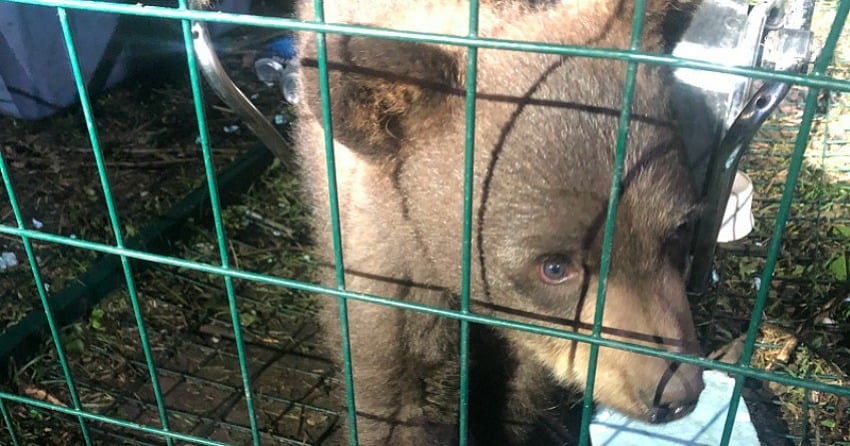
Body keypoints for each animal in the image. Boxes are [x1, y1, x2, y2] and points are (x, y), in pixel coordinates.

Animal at [293, 0, 705, 444]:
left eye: (678, 232)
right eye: (554, 267)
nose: (677, 393)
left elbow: (522, 387)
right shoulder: (386, 268)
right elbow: (398, 393)